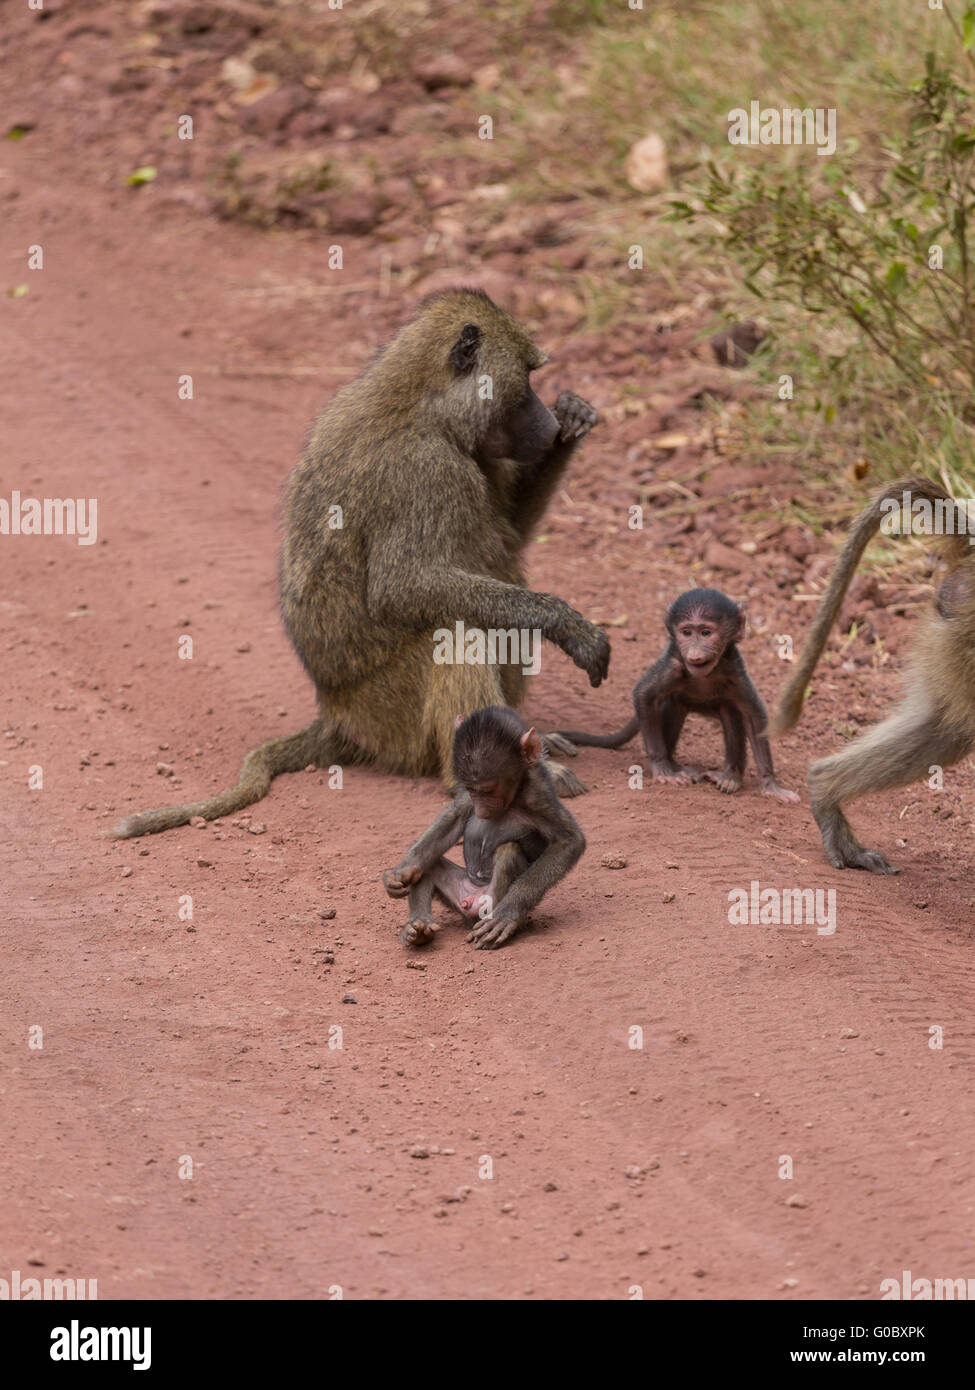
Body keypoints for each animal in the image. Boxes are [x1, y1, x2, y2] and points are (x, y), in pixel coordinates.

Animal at [111, 289, 609, 839]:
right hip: (388, 716)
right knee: (459, 633)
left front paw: (574, 419)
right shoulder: (422, 469)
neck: (420, 401)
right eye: (528, 376)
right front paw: (569, 625)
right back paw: (470, 780)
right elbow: (405, 587)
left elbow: (510, 536)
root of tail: (338, 716)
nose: (548, 424)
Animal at [382, 706, 586, 950]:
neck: (514, 795)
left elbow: (569, 840)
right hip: (458, 894)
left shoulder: (538, 793)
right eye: (471, 789)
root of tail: (472, 899)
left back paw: (498, 917)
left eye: (488, 790)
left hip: (486, 903)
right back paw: (419, 927)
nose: (481, 810)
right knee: (429, 865)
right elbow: (455, 817)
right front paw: (399, 873)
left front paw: (507, 914)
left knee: (508, 850)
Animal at [556, 588, 798, 802]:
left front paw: (770, 785)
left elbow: (753, 715)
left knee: (730, 712)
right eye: (687, 632)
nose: (694, 654)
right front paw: (662, 768)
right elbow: (644, 695)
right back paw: (675, 765)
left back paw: (730, 776)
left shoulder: (734, 669)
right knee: (674, 705)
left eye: (706, 633)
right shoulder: (672, 666)